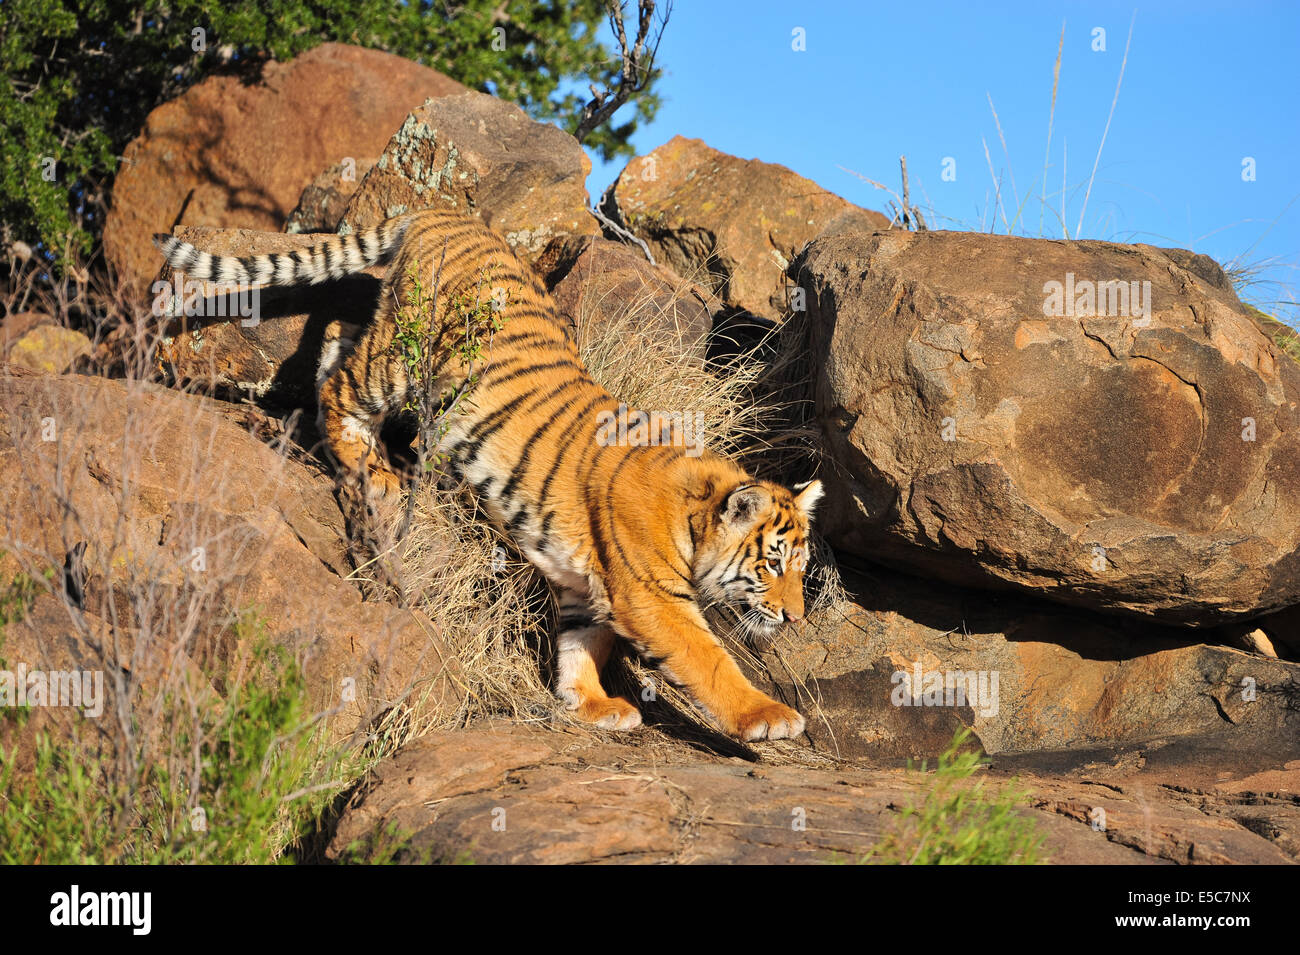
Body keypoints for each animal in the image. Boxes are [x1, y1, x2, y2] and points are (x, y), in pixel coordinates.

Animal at [154, 206, 822, 741]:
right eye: (771, 565)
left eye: (802, 569)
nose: (795, 619)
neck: (692, 519)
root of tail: (444, 210)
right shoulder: (652, 597)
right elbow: (708, 659)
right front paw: (769, 718)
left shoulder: (588, 586)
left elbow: (582, 643)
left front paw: (590, 705)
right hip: (405, 355)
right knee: (345, 386)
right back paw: (374, 470)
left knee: (339, 339)